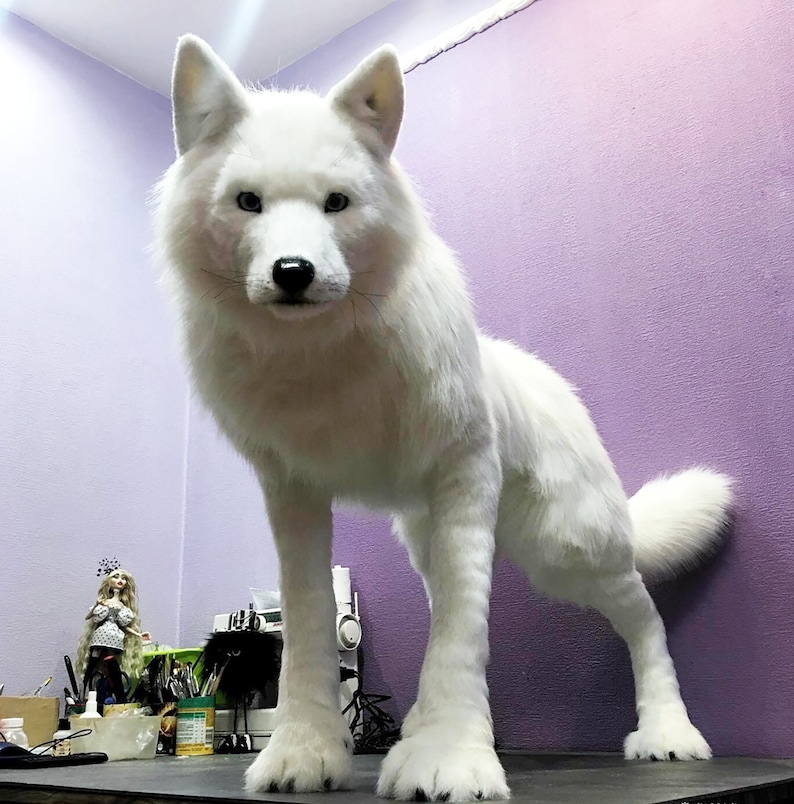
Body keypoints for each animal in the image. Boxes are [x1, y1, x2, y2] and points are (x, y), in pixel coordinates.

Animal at [154, 36, 733, 802]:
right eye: (248, 202)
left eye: (336, 203)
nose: (292, 271)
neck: (321, 356)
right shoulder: (294, 496)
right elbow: (307, 629)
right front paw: (304, 755)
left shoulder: (464, 475)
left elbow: (462, 637)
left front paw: (452, 759)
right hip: (437, 543)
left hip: (567, 551)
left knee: (645, 617)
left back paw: (669, 733)